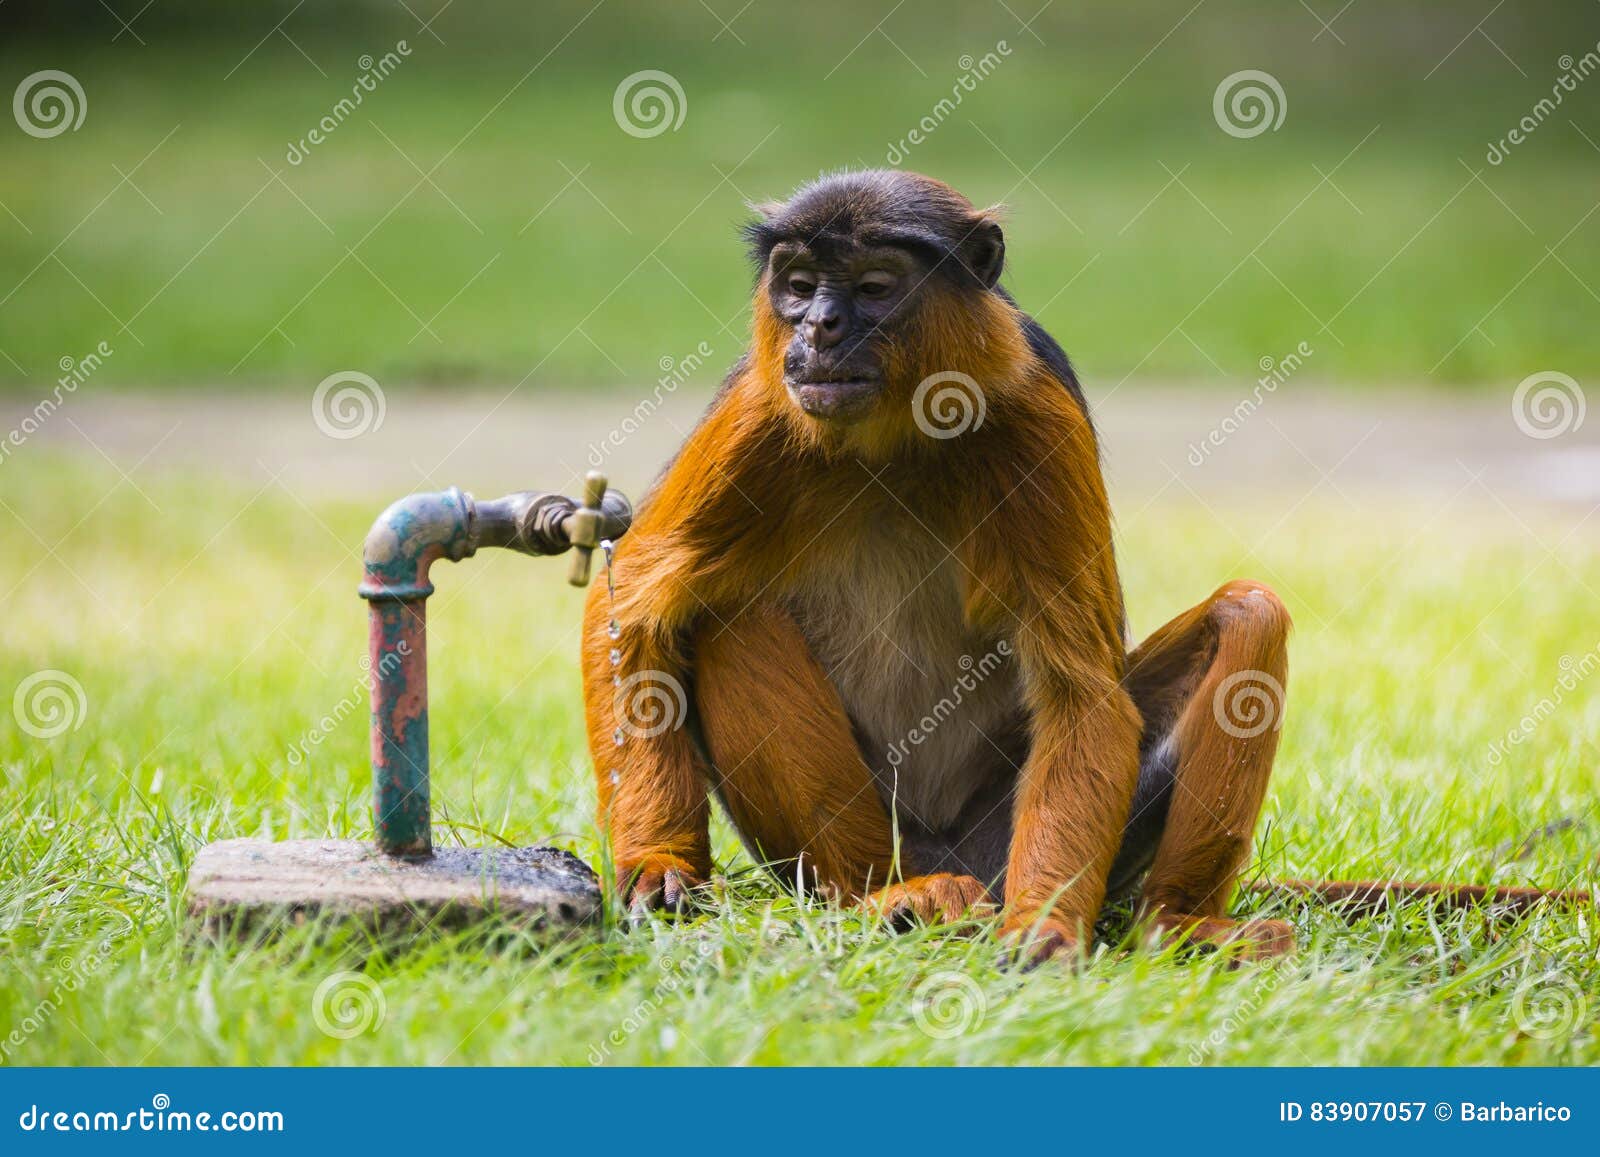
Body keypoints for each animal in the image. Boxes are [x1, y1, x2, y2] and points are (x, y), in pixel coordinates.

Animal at [581, 169, 1592, 963]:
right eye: (798, 288)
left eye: (871, 287)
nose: (821, 329)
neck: (896, 438)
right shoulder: (765, 403)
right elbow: (635, 600)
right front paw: (660, 866)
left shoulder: (1033, 412)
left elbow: (1080, 690)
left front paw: (1046, 930)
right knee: (728, 615)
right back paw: (885, 896)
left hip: (1010, 835)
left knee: (1249, 613)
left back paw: (1172, 922)